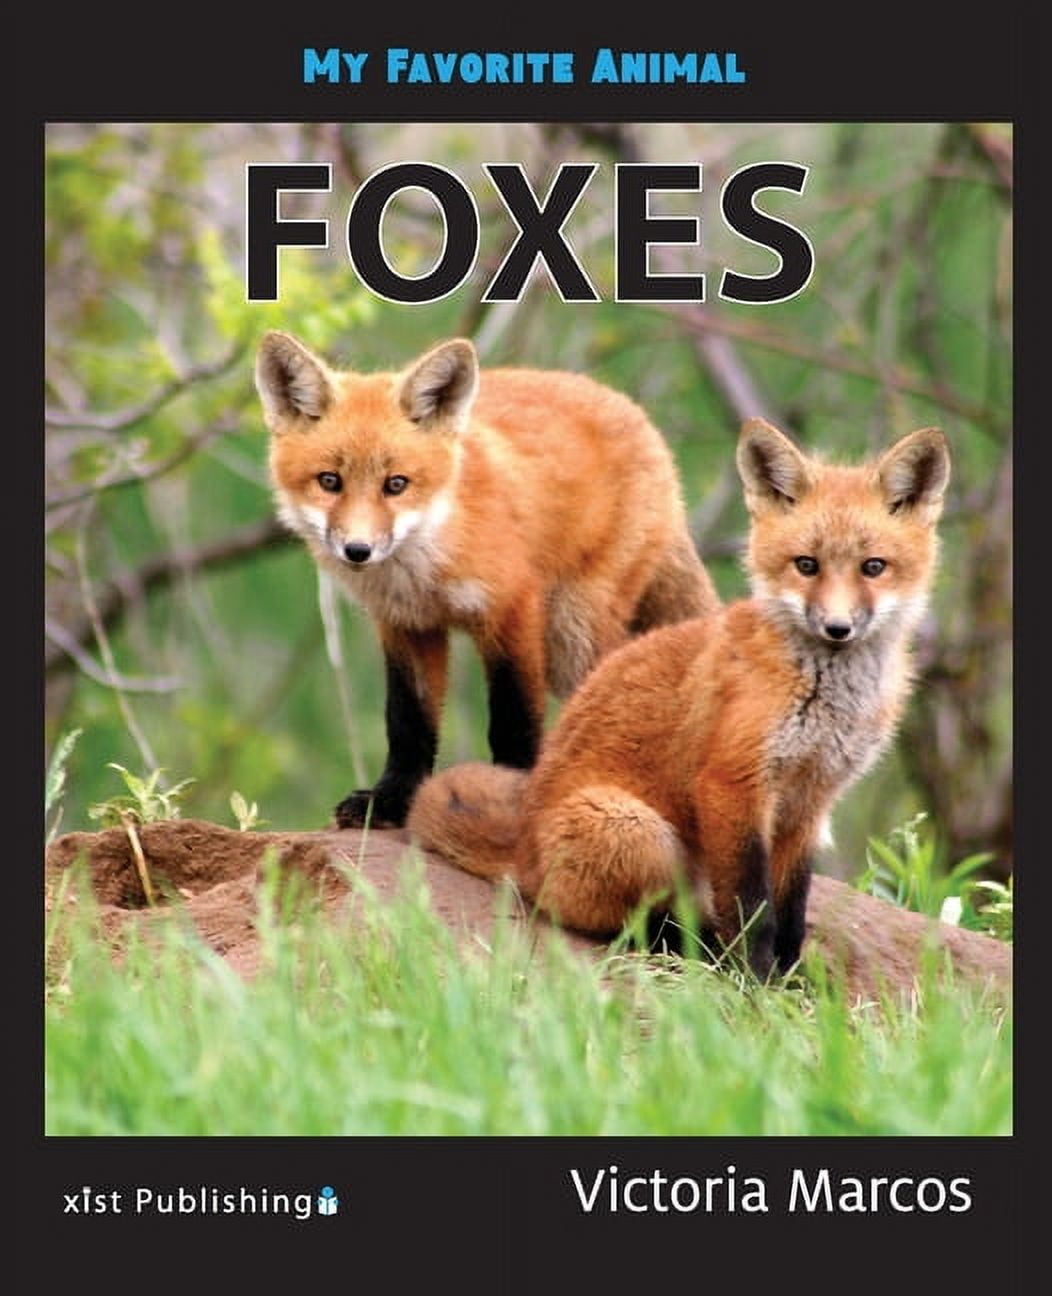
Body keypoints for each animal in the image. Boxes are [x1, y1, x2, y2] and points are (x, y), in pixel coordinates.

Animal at [256, 331, 719, 829]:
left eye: (396, 484)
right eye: (329, 481)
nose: (357, 550)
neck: (424, 568)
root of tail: (640, 418)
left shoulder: (512, 608)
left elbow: (513, 717)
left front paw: (510, 794)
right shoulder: (406, 625)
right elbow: (408, 722)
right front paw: (390, 800)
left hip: (570, 633)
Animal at [407, 418, 951, 977]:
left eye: (873, 567)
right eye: (806, 565)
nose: (838, 628)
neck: (825, 698)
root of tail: (521, 850)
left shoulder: (810, 803)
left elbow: (790, 907)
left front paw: (789, 976)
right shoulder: (732, 783)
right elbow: (752, 908)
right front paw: (756, 979)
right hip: (638, 830)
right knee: (618, 921)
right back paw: (696, 947)